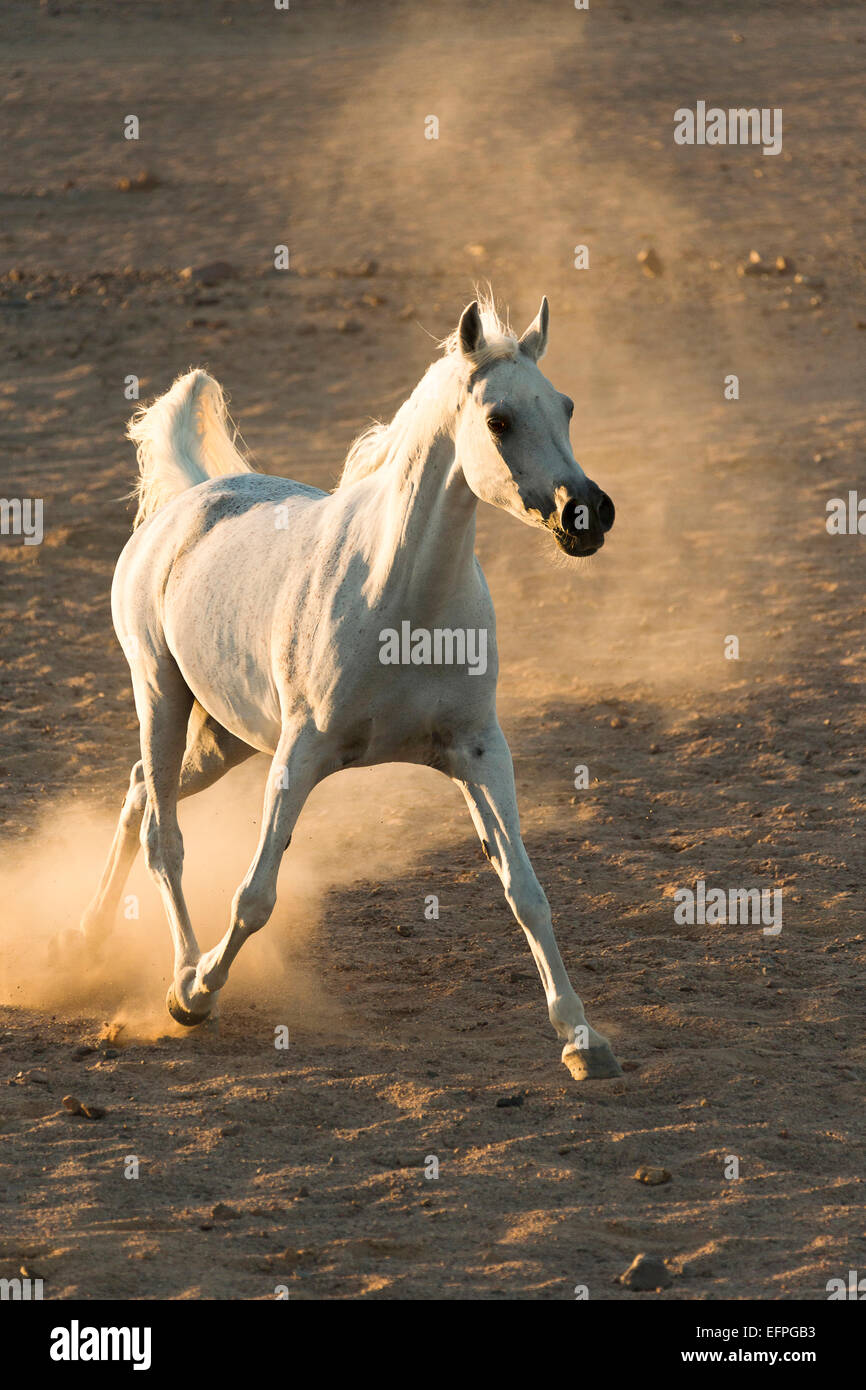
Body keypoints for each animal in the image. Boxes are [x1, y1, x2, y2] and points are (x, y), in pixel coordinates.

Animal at [78, 294, 621, 1080]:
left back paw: (88, 935)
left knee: (136, 792)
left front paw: (583, 1041)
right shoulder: (300, 755)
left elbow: (527, 893)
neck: (401, 601)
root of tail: (186, 503)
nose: (587, 513)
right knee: (162, 834)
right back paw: (177, 975)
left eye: (567, 407)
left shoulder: (479, 753)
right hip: (162, 698)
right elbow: (255, 896)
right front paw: (199, 994)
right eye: (498, 420)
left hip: (226, 740)